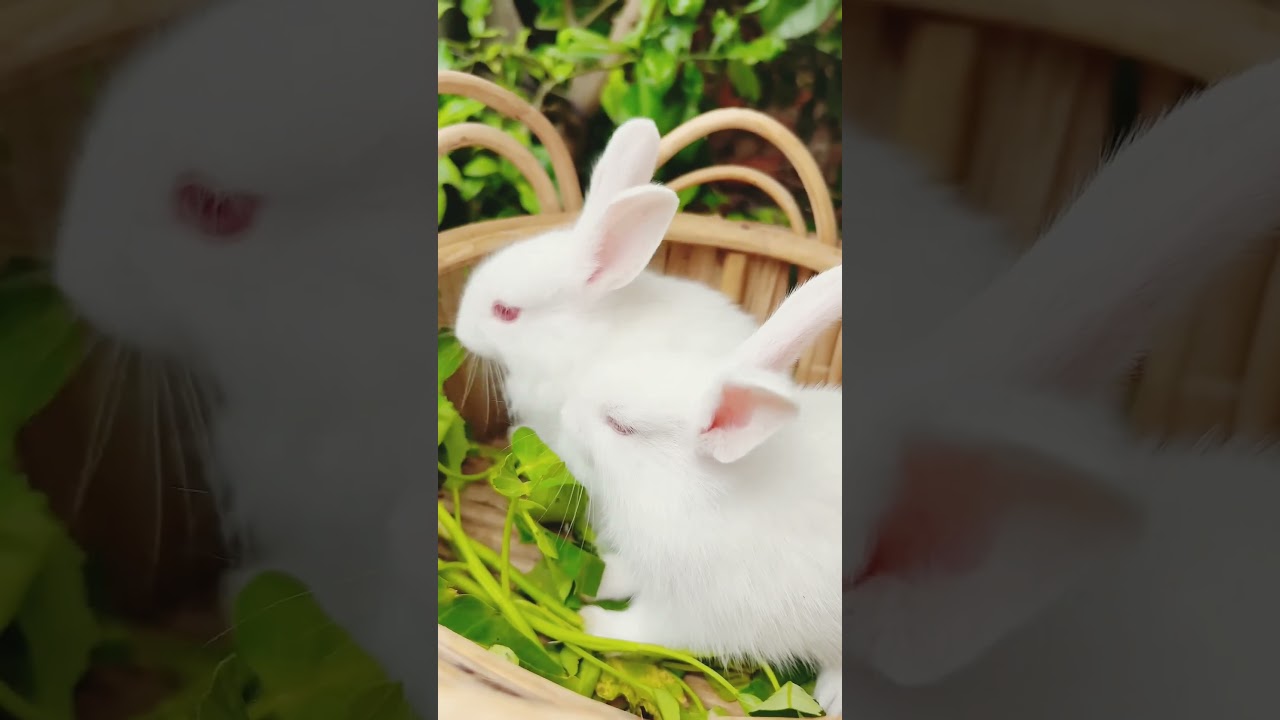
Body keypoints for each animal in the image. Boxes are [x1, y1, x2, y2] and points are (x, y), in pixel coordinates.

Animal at [553, 265, 845, 715]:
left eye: (621, 426)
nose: (564, 413)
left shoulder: (704, 614)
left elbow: (645, 629)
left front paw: (592, 622)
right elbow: (626, 575)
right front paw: (600, 581)